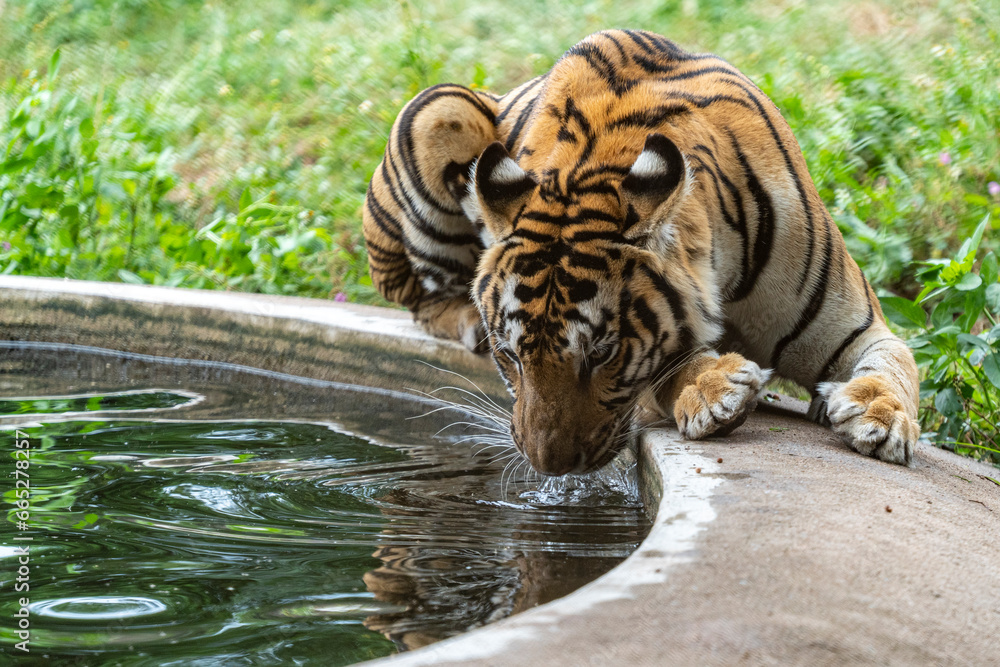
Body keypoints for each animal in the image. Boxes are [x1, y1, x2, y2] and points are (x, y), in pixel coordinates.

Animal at [362, 29, 921, 476]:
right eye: (510, 356)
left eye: (601, 354)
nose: (548, 467)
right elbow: (668, 369)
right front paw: (716, 387)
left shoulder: (857, 328)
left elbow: (896, 364)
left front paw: (880, 418)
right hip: (437, 109)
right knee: (421, 296)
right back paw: (465, 321)